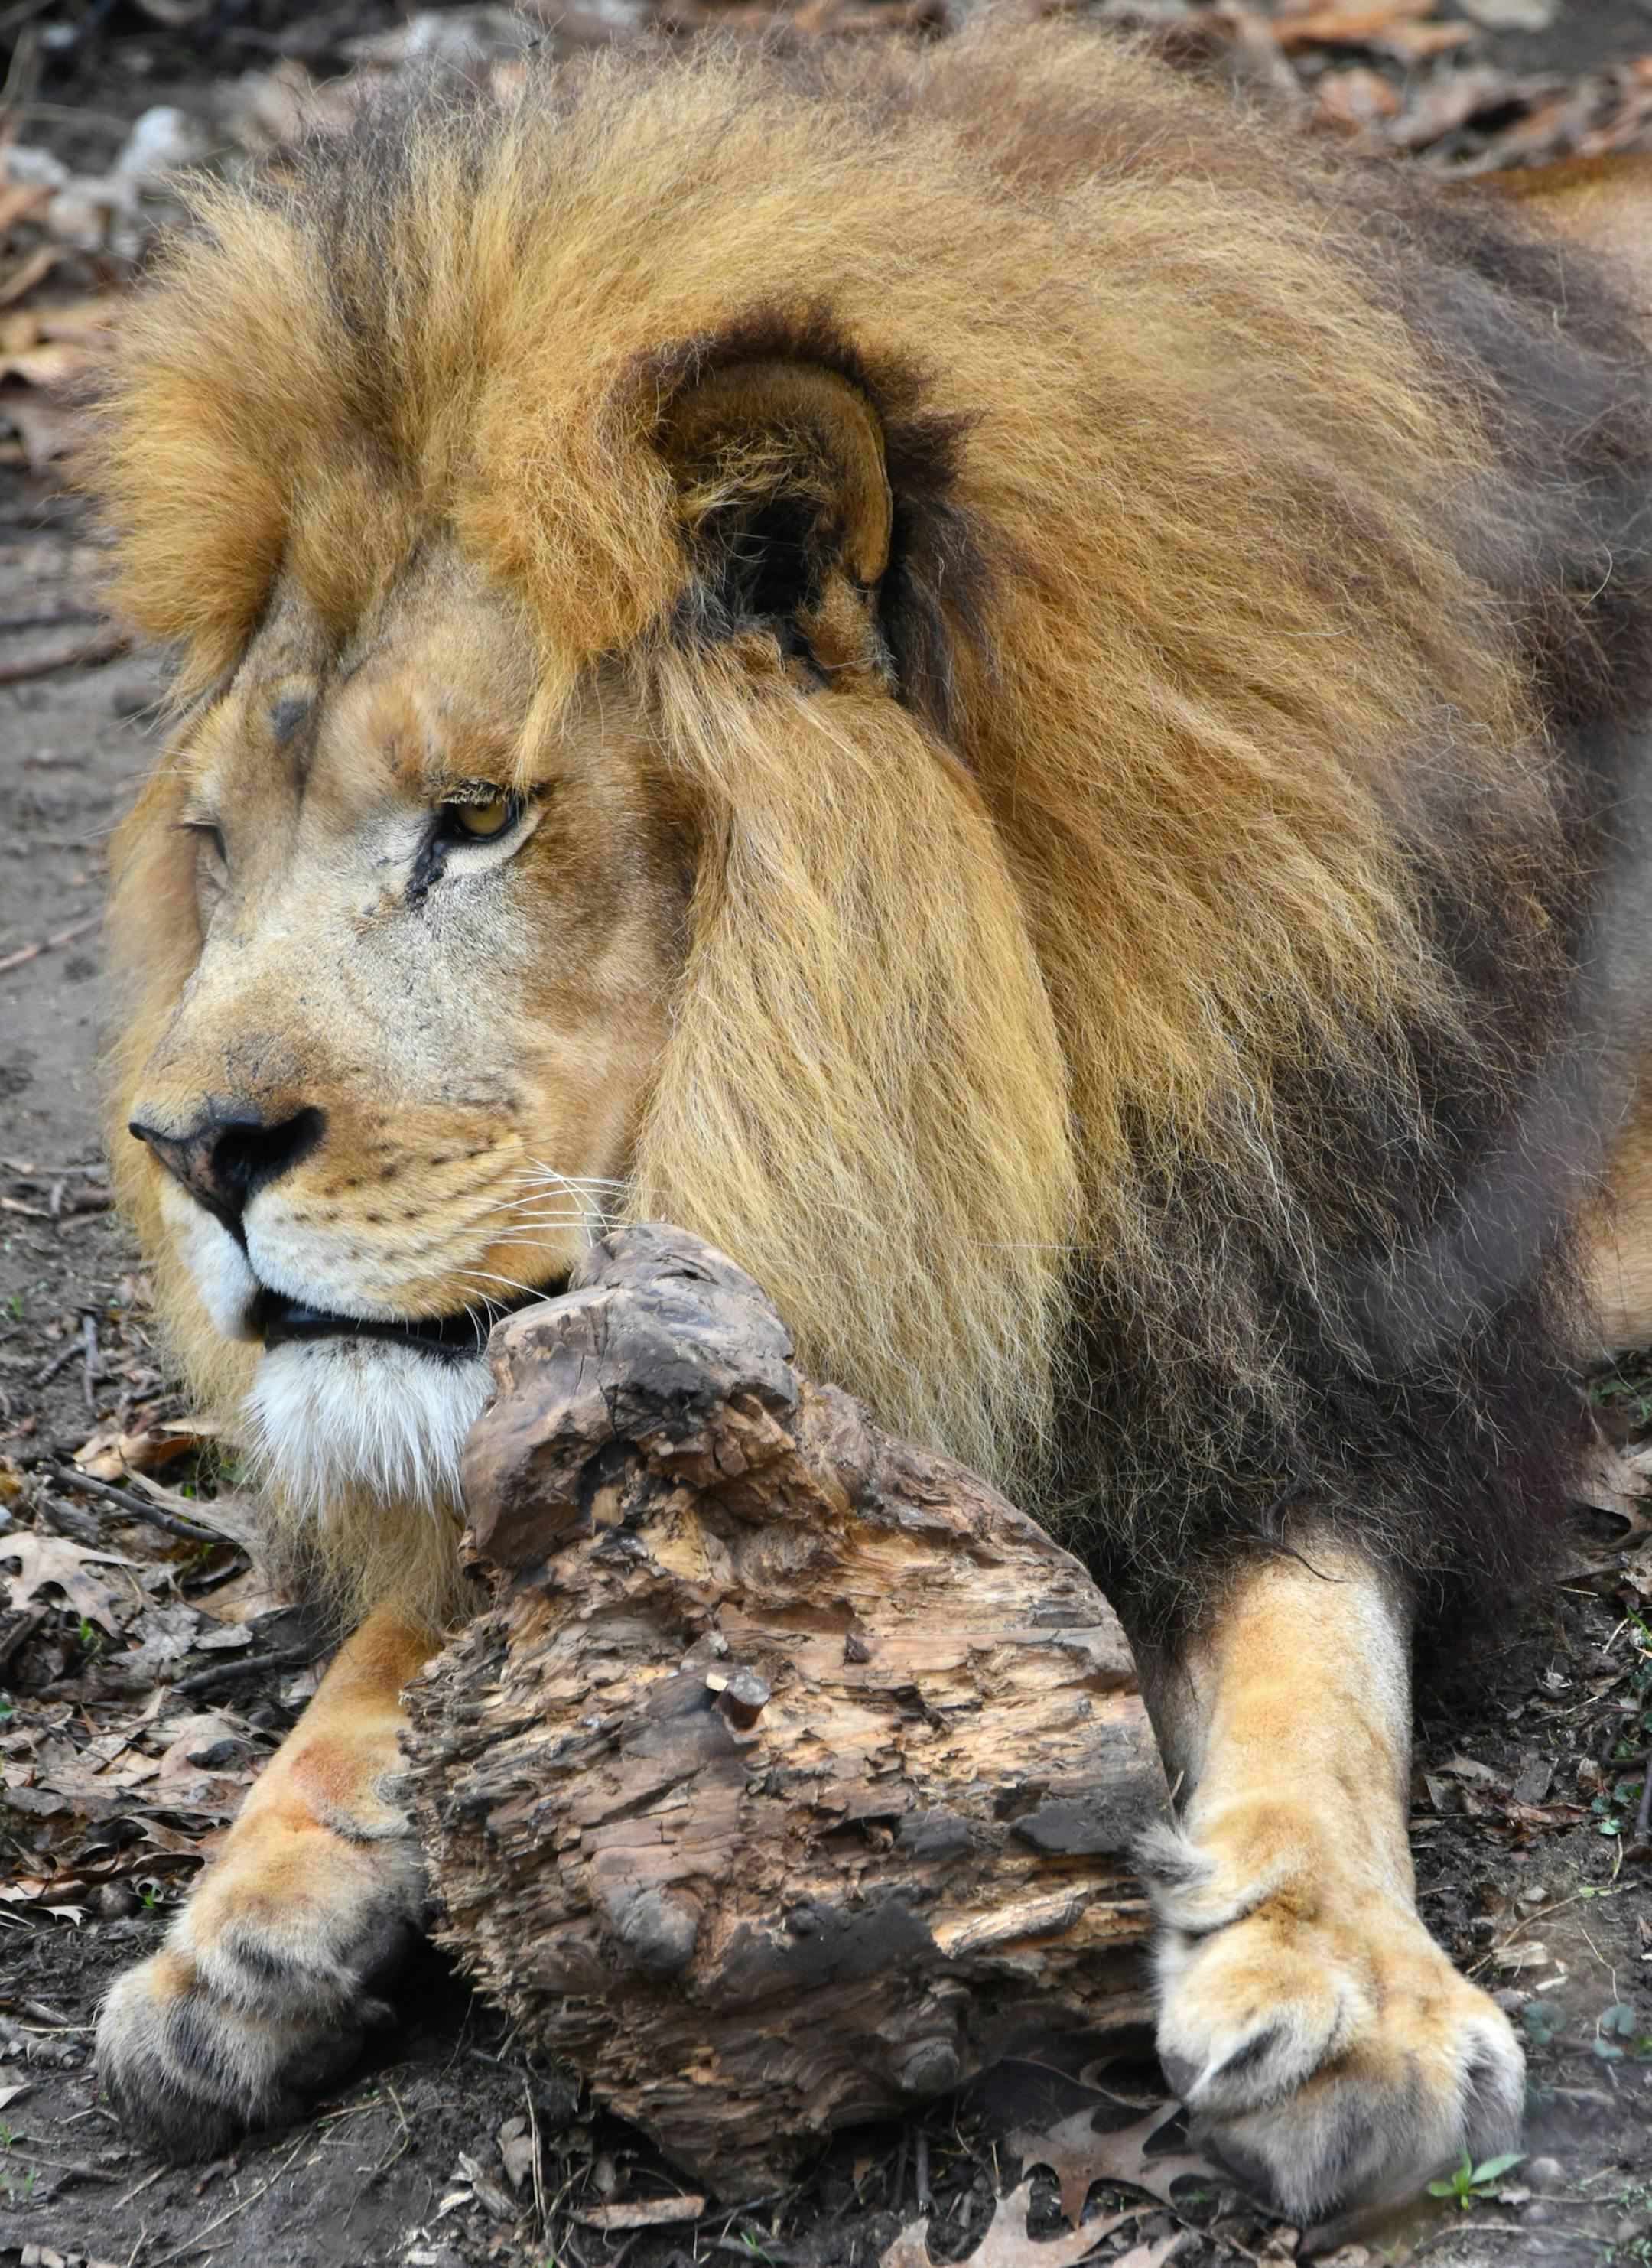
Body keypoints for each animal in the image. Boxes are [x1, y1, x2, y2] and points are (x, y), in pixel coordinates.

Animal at [85, 16, 1652, 2220]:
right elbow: (412, 1622)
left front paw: (1340, 1985)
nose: (190, 1153)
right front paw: (249, 1911)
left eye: (477, 819)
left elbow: (1314, 1658)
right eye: (219, 848)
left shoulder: (1316, 1329)